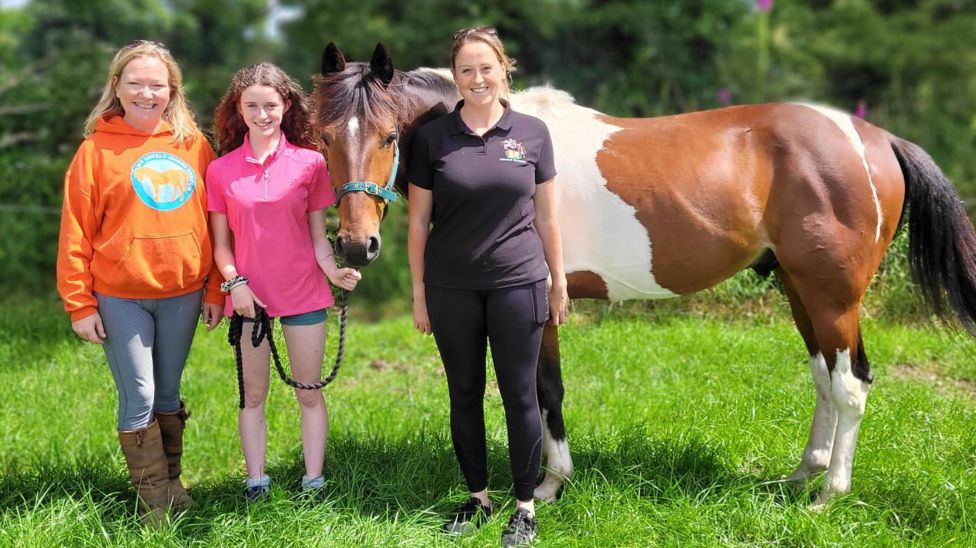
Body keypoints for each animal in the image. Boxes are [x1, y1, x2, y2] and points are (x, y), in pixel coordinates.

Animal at [311, 43, 976, 507]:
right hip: (799, 287)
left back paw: (828, 495)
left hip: (832, 294)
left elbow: (543, 391)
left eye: (389, 137)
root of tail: (873, 138)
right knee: (823, 376)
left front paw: (549, 487)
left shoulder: (539, 308)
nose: (356, 246)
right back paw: (801, 475)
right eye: (322, 138)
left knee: (851, 383)